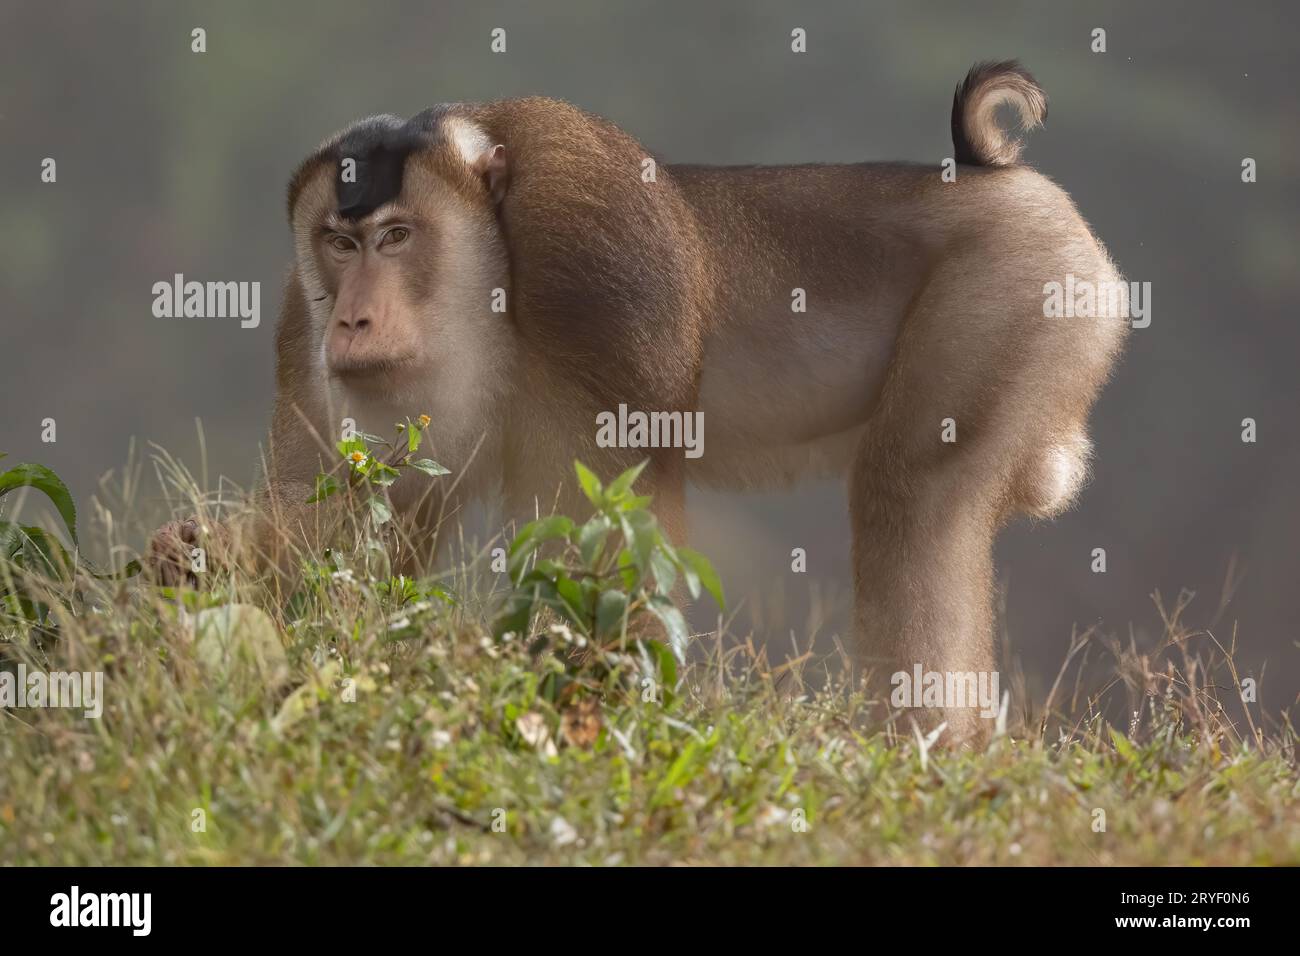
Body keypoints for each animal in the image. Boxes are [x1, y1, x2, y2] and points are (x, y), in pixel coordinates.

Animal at [150, 61, 1127, 745]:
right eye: (338, 241)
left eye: (396, 237)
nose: (352, 318)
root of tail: (999, 178)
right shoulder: (298, 330)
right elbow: (354, 532)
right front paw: (196, 562)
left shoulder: (589, 258)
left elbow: (609, 551)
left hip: (1019, 285)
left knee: (910, 497)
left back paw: (925, 752)